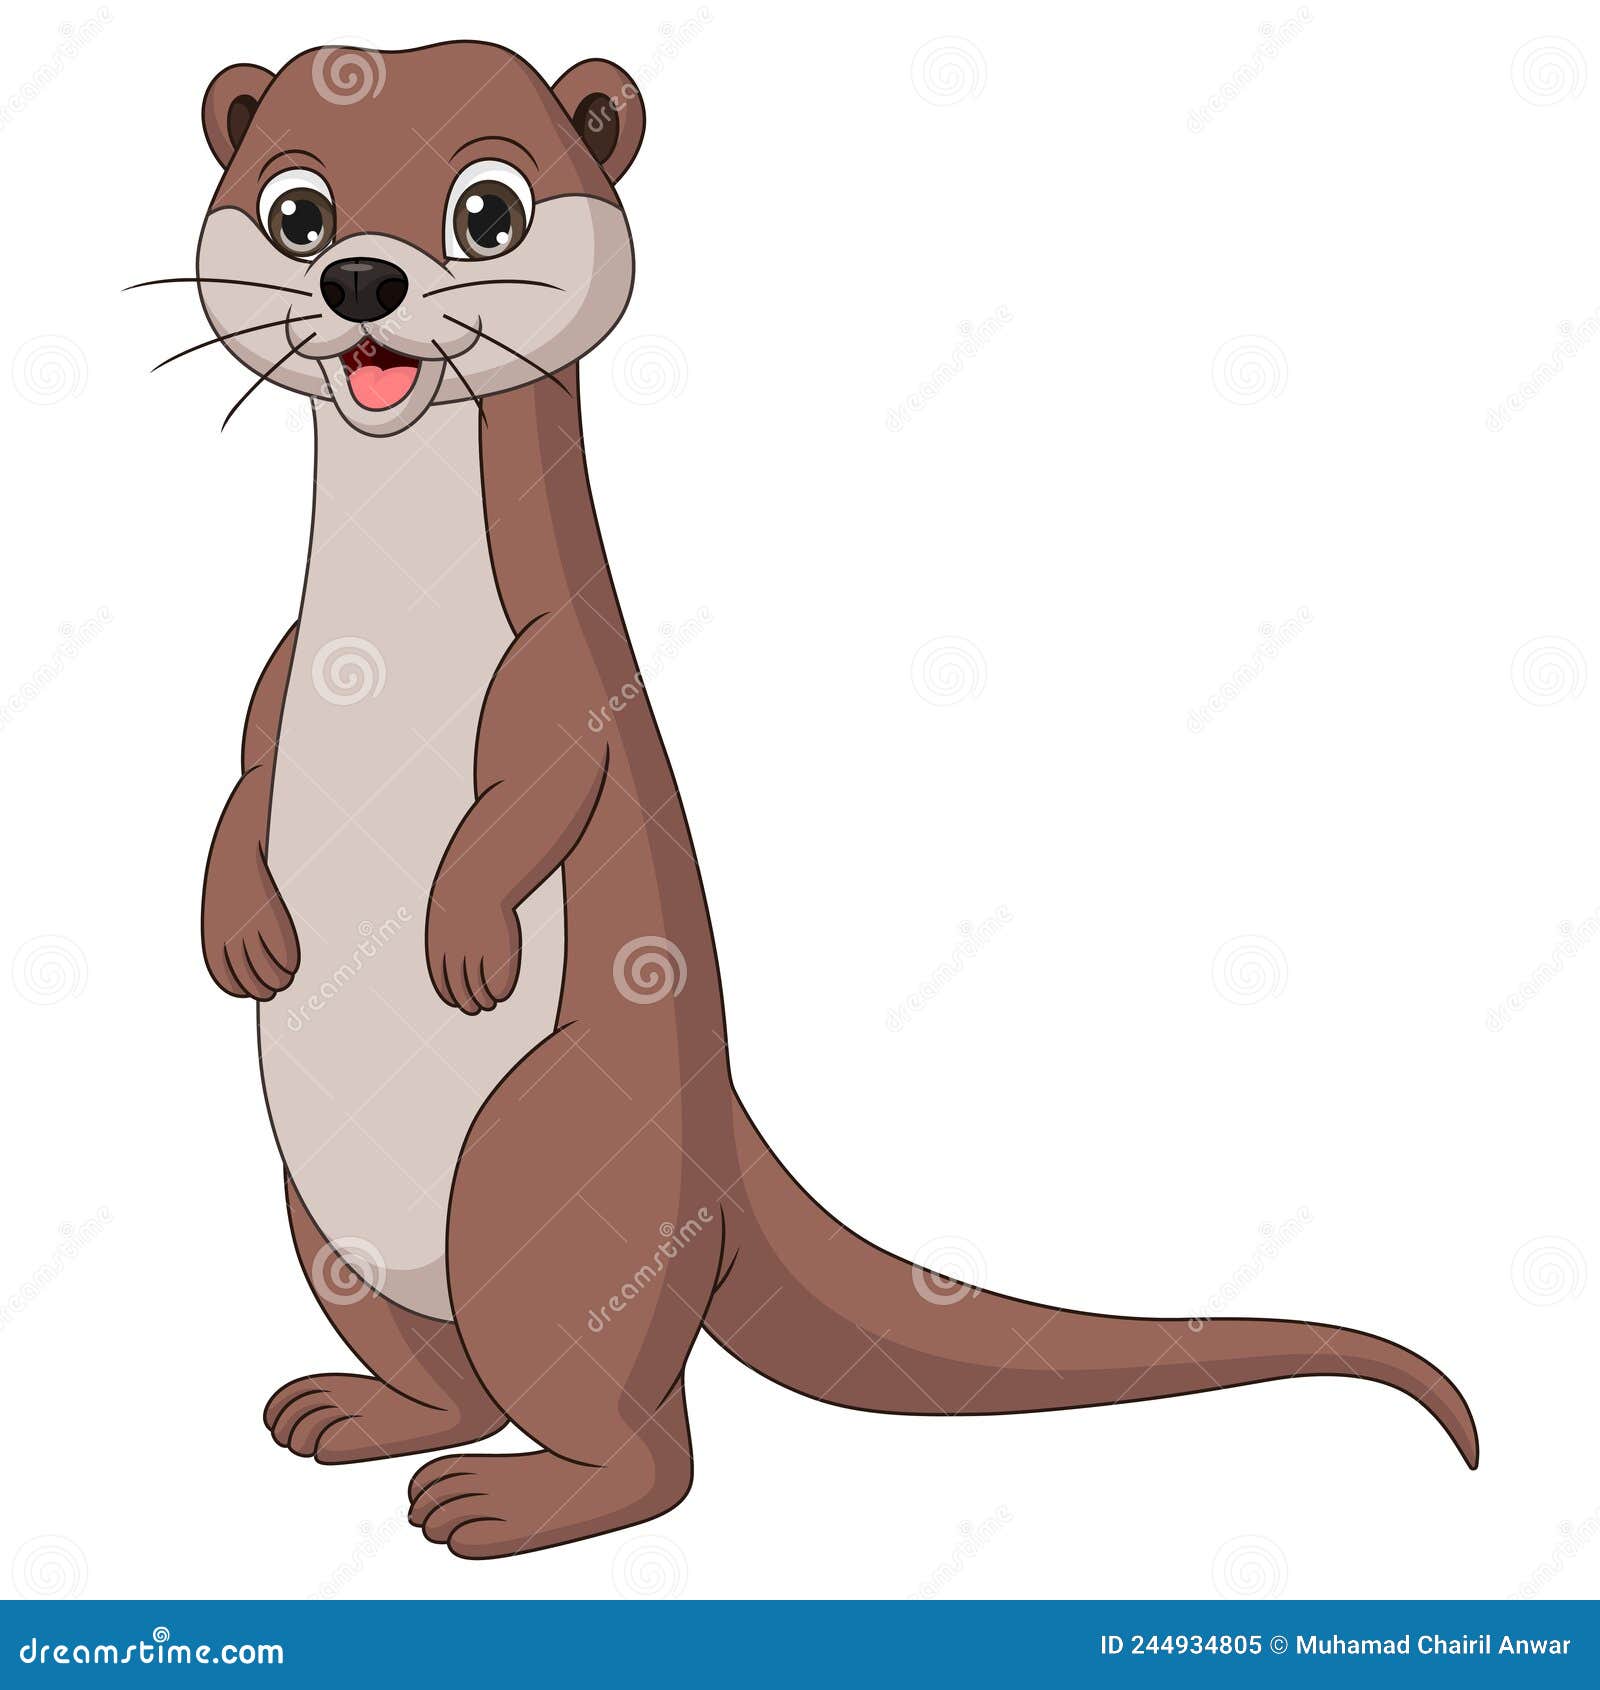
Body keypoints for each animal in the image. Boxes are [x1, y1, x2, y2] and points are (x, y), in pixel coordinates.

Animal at [167, 41, 1476, 1561]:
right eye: (296, 210)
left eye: (486, 209)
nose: (361, 281)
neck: (387, 630)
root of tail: (725, 1156)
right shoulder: (282, 665)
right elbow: (248, 771)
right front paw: (242, 927)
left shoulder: (559, 666)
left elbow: (541, 784)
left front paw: (466, 931)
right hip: (323, 1221)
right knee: (453, 1372)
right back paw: (367, 1414)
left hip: (546, 1164)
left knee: (646, 1444)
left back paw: (510, 1498)